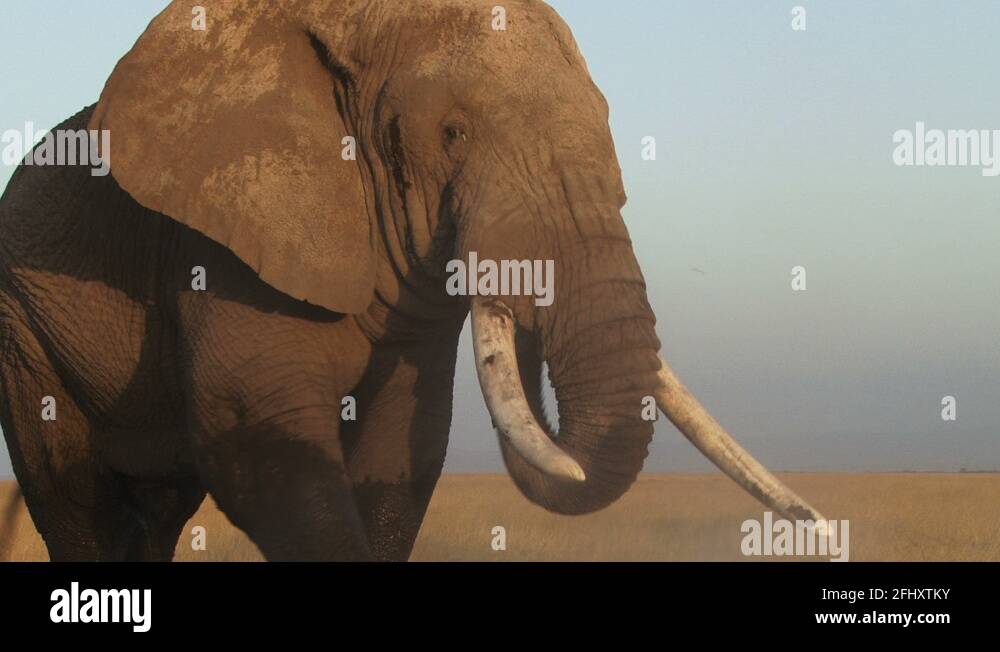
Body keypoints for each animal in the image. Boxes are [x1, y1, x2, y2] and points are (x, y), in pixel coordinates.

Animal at [0, 0, 823, 562]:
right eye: (453, 135)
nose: (815, 522)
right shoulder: (214, 245)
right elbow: (262, 449)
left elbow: (402, 454)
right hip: (25, 333)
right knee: (78, 502)